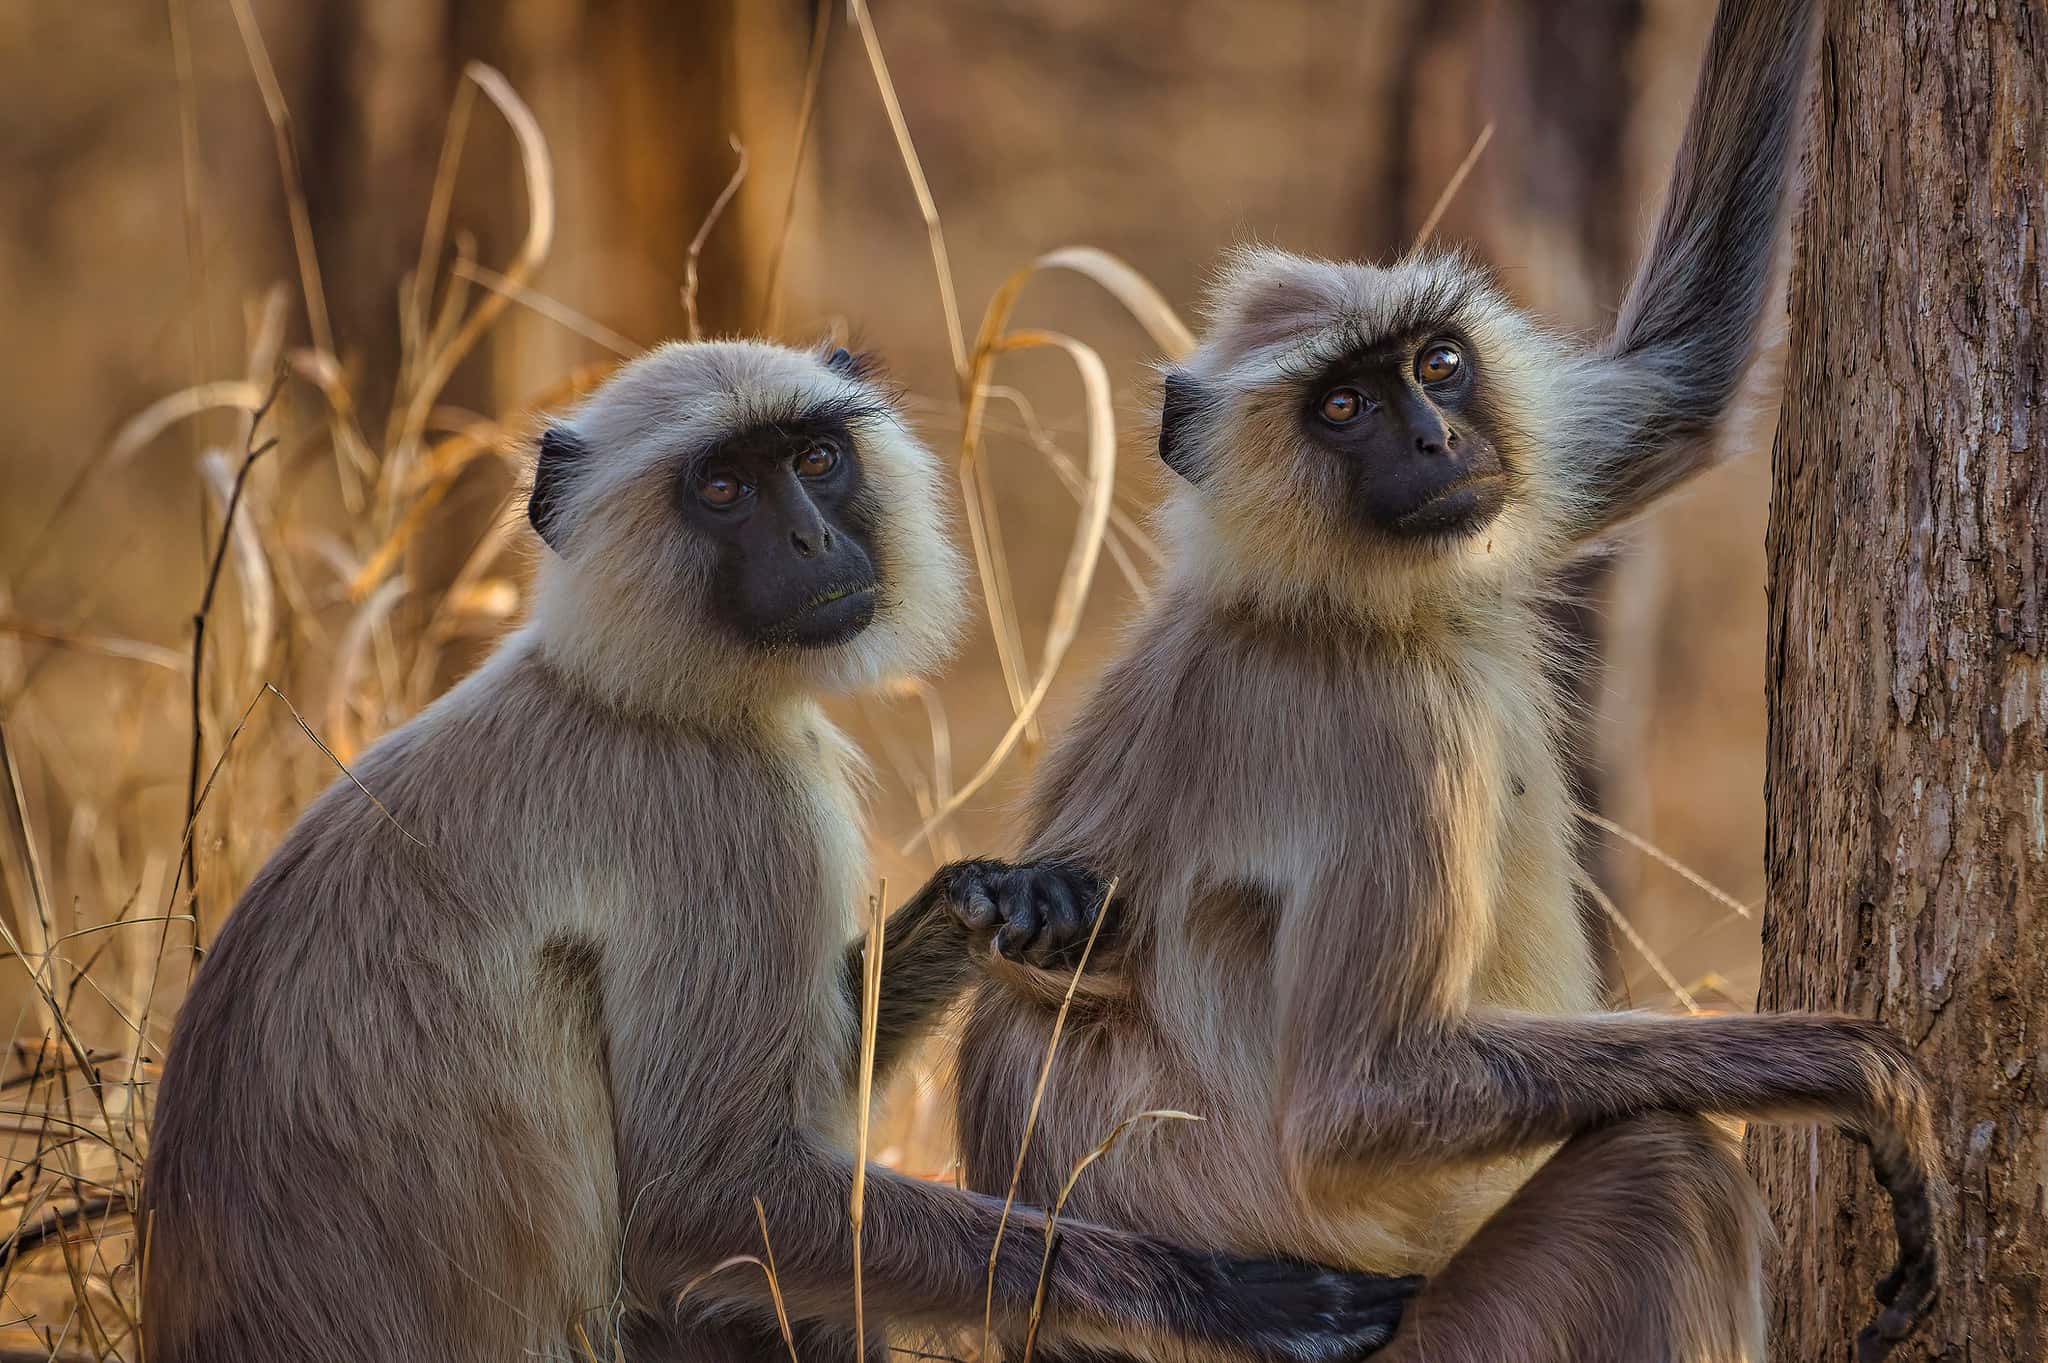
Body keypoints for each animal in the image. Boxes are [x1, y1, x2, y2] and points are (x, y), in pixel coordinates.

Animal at [139, 339, 1421, 1363]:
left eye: (811, 461)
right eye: (720, 487)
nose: (808, 538)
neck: (629, 695)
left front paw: (1006, 903)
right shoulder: (735, 816)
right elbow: (707, 1198)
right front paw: (1226, 1298)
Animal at [953, 3, 1948, 1362]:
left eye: (1433, 367)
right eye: (1341, 405)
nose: (1432, 443)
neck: (1335, 605)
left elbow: (1679, 389)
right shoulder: (1392, 732)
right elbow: (1358, 1097)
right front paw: (1855, 1069)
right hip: (1469, 1334)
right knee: (1663, 1172)